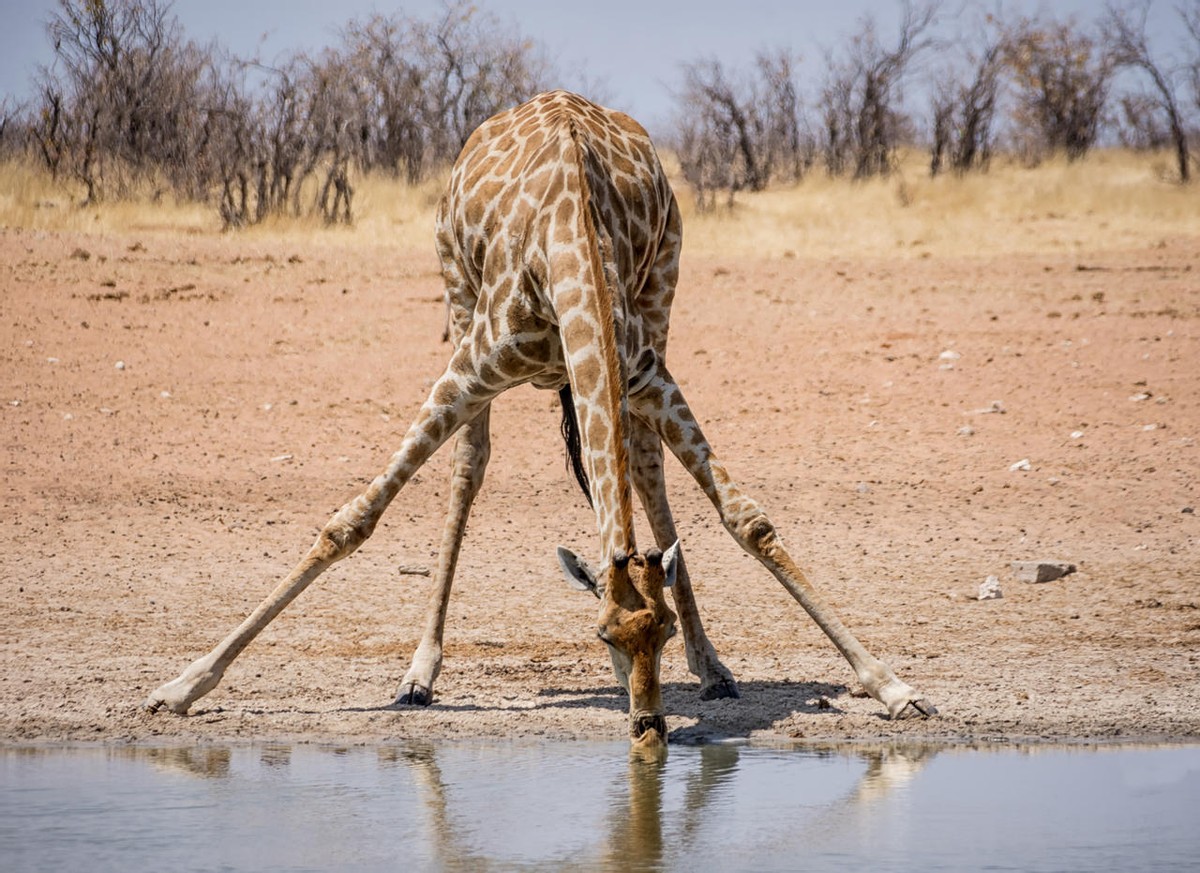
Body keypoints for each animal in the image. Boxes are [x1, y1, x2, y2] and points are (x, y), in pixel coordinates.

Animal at [144, 91, 935, 746]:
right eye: (603, 636)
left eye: (660, 631)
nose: (649, 726)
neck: (570, 248)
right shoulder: (472, 366)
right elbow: (351, 522)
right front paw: (180, 686)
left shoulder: (648, 370)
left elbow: (749, 521)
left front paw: (895, 688)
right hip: (456, 296)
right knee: (469, 468)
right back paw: (419, 673)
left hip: (664, 292)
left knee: (645, 468)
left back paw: (714, 667)